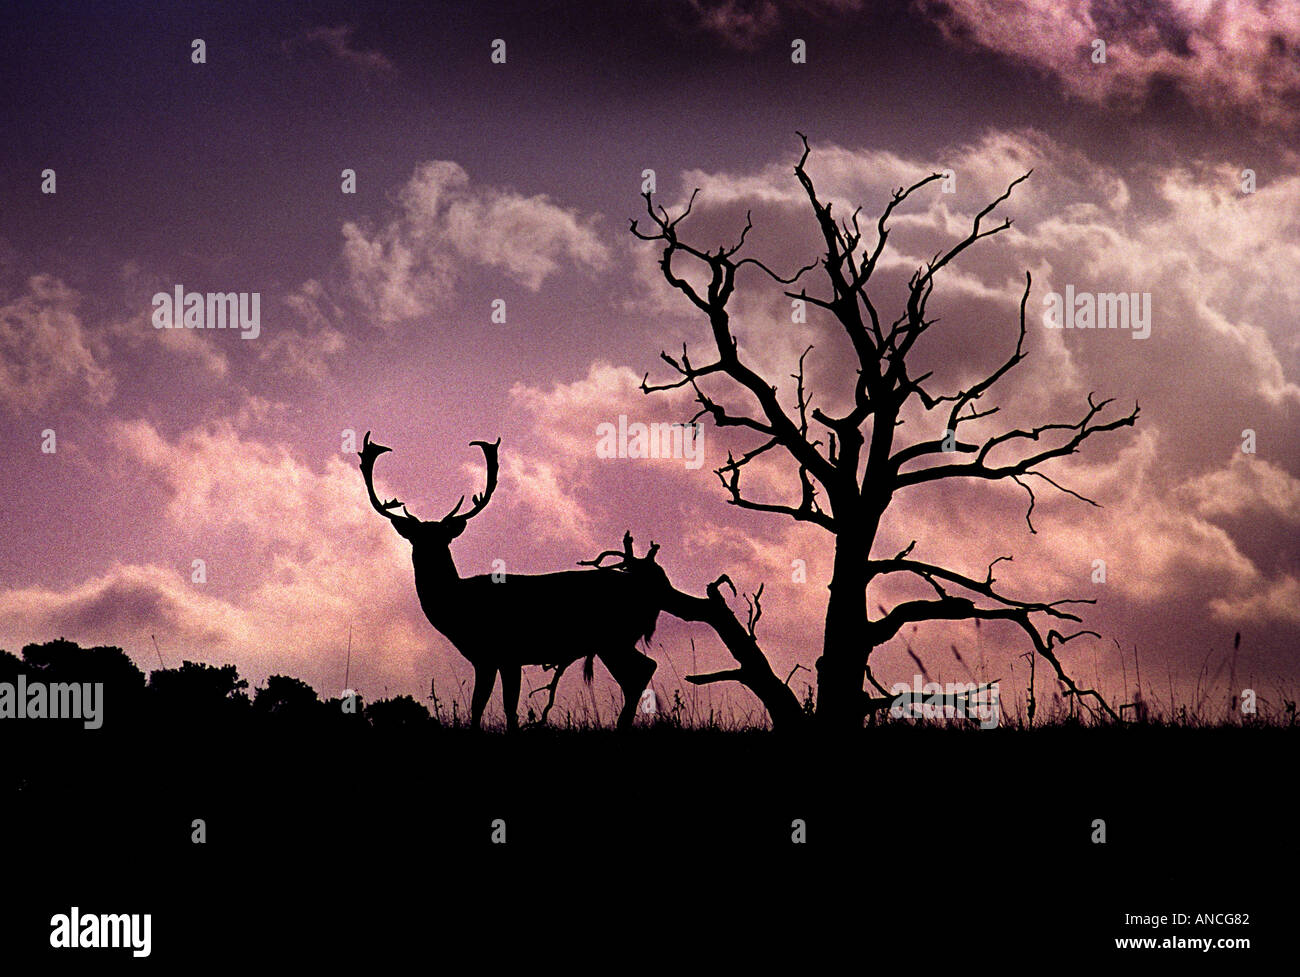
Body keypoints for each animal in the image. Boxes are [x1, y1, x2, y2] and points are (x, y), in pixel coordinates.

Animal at [359, 432, 661, 731]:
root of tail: (651, 596)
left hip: (613, 637)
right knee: (643, 669)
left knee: (642, 670)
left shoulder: (506, 652)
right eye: (416, 539)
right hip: (614, 640)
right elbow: (482, 705)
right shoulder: (487, 658)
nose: (428, 555)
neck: (459, 605)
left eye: (445, 538)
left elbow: (502, 706)